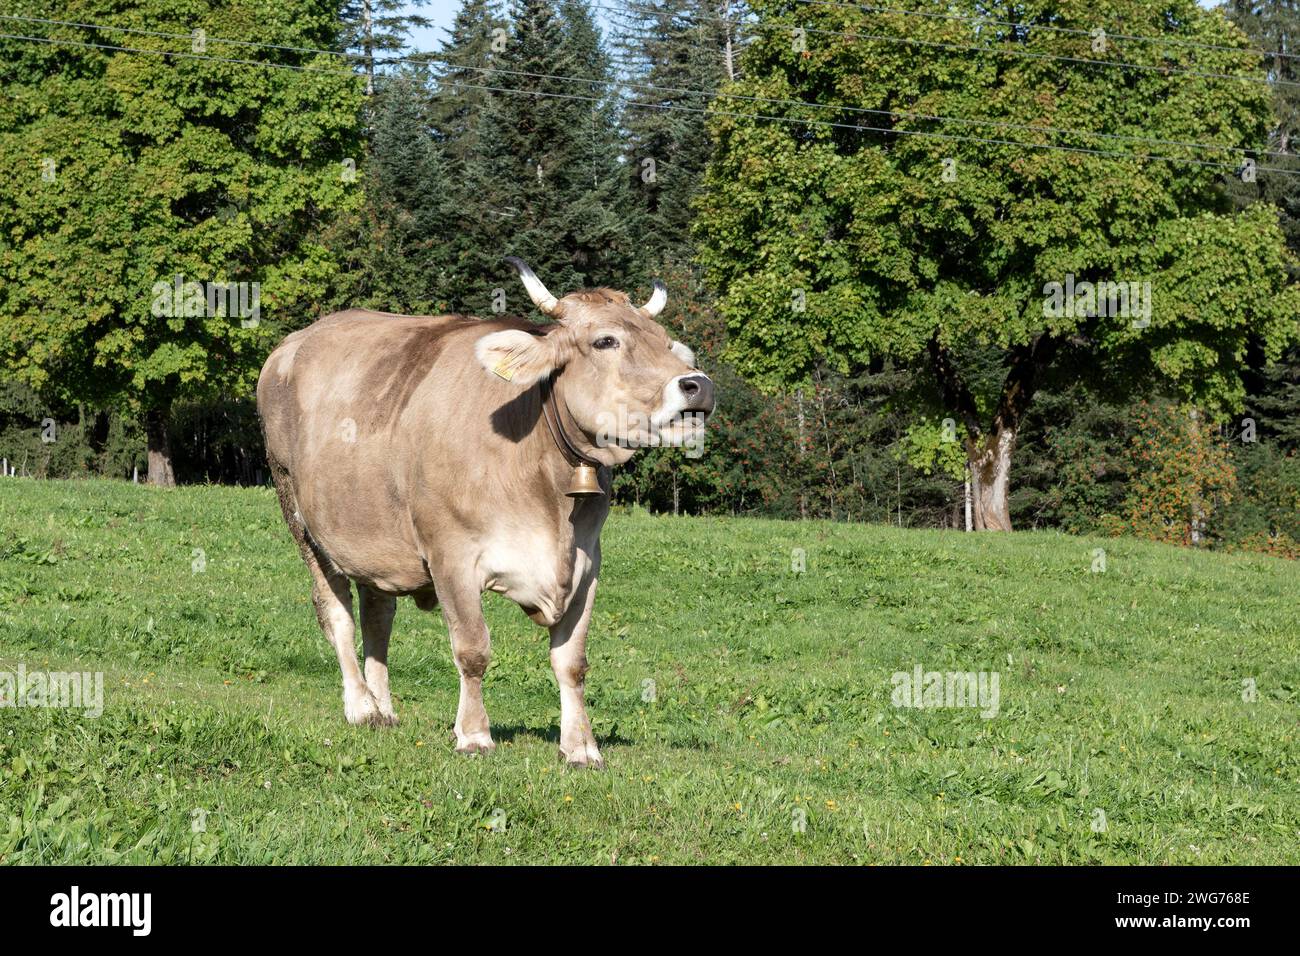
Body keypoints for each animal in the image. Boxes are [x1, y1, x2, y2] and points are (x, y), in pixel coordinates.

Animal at [255, 258, 715, 768]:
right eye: (605, 341)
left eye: (666, 342)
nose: (698, 385)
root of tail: (296, 342)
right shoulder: (451, 555)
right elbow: (472, 649)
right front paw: (474, 735)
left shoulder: (586, 563)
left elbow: (572, 662)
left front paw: (581, 746)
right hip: (298, 515)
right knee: (336, 613)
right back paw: (362, 707)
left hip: (376, 535)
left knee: (378, 613)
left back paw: (384, 706)